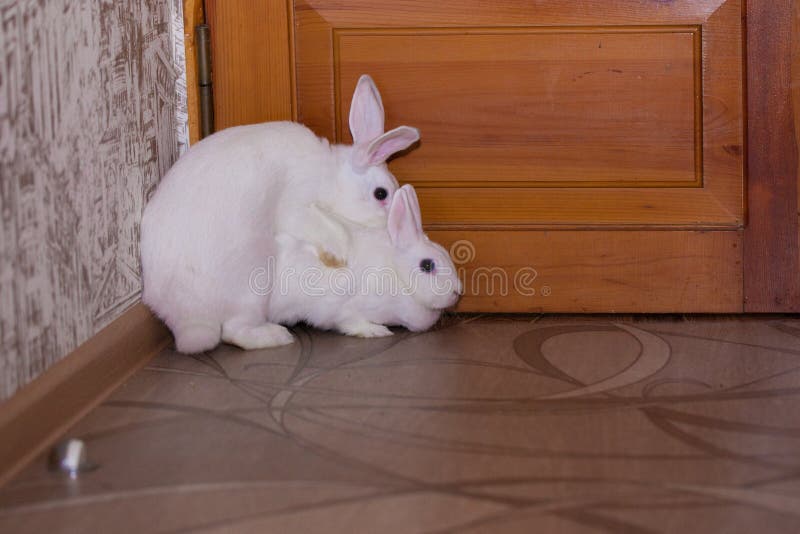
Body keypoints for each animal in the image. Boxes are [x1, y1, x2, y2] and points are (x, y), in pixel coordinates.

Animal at [140, 75, 420, 353]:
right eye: (381, 194)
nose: (388, 228)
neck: (330, 175)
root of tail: (186, 318)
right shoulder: (297, 206)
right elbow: (328, 226)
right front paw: (338, 255)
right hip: (254, 285)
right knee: (233, 331)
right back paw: (277, 336)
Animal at [268, 184, 463, 338]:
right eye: (427, 265)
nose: (458, 291)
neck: (398, 276)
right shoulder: (343, 310)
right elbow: (351, 323)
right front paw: (377, 331)